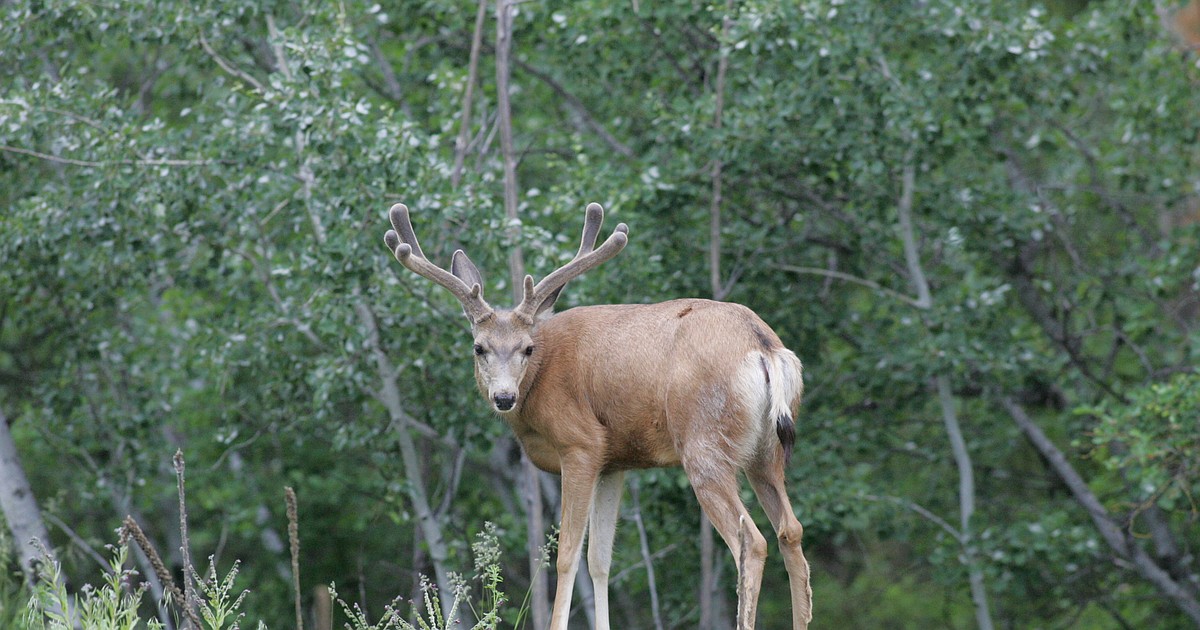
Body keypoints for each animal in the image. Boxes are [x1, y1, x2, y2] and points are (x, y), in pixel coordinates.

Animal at [383, 202, 813, 630]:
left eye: (526, 348)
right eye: (479, 347)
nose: (504, 397)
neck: (540, 378)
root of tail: (765, 348)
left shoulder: (582, 444)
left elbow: (568, 555)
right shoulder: (615, 460)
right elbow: (600, 561)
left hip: (704, 441)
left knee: (752, 541)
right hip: (765, 452)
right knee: (790, 530)